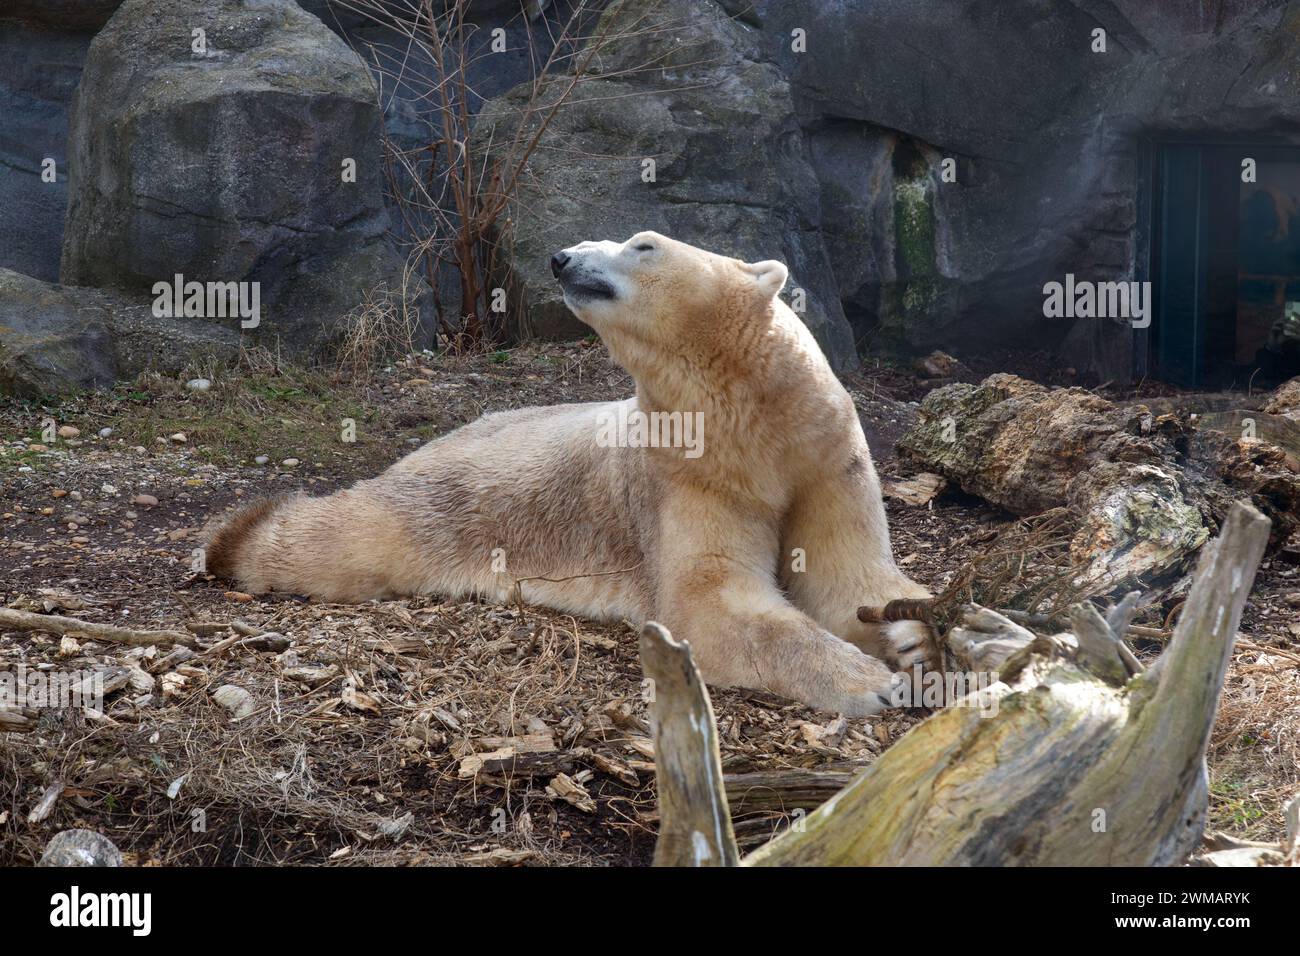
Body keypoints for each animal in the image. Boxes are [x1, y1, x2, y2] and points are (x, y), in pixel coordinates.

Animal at [205, 231, 934, 715]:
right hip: (442, 502)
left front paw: (920, 641)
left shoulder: (826, 451)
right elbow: (713, 602)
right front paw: (873, 682)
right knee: (347, 535)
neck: (751, 419)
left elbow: (850, 576)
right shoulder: (689, 472)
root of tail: (437, 440)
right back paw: (231, 539)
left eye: (642, 244)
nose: (561, 258)